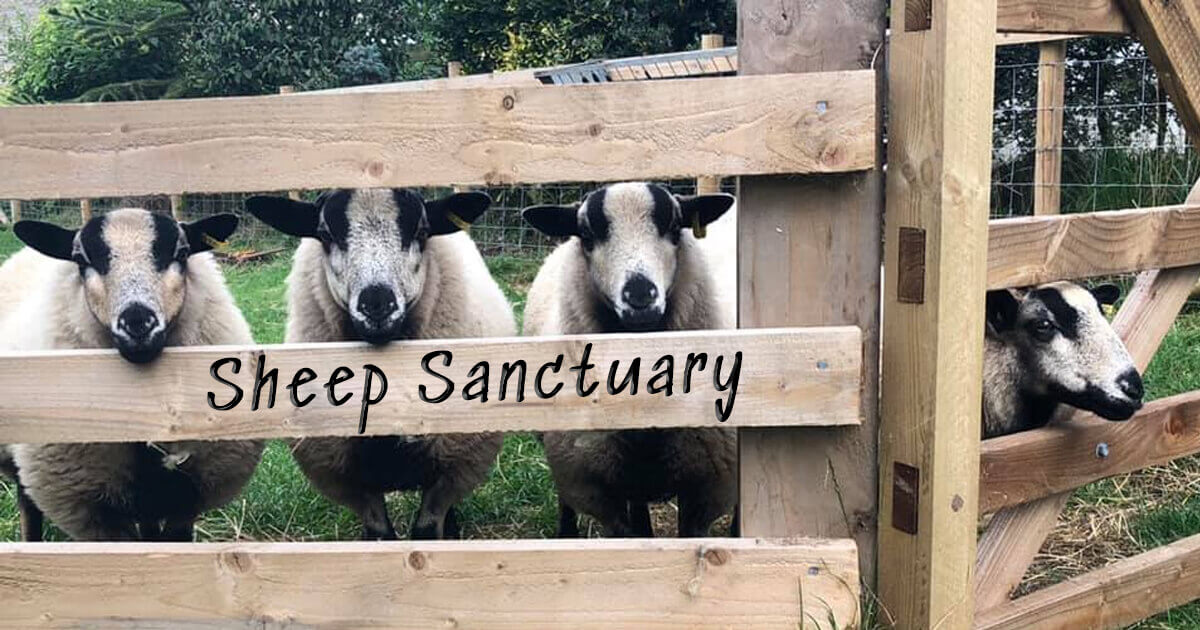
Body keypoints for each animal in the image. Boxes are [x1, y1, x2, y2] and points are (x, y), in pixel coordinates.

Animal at [0, 208, 264, 541]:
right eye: (81, 259)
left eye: (181, 252)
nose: (138, 323)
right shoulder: (97, 512)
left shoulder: (189, 495)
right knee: (29, 507)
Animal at [245, 188, 515, 540]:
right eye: (325, 234)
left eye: (422, 231)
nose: (376, 305)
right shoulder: (348, 475)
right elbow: (379, 535)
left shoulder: (453, 467)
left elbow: (426, 532)